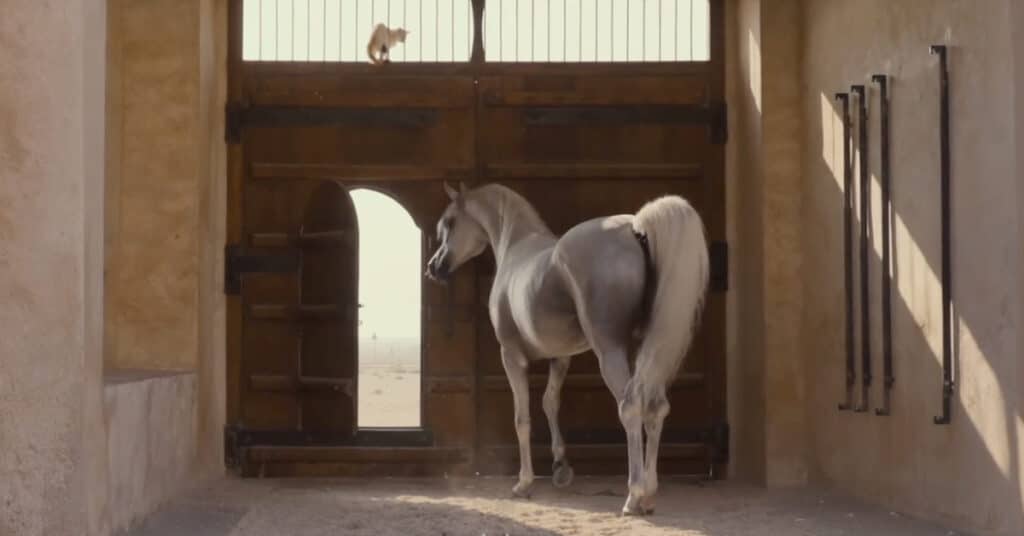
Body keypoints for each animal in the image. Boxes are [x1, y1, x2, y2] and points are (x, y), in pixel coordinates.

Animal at [425, 182, 709, 516]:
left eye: (450, 222)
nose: (434, 267)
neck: (517, 247)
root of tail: (635, 230)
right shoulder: (560, 357)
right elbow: (550, 402)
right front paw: (561, 467)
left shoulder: (512, 356)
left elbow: (522, 418)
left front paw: (523, 484)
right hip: (645, 351)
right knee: (656, 407)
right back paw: (649, 495)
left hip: (610, 352)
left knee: (631, 407)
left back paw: (634, 496)